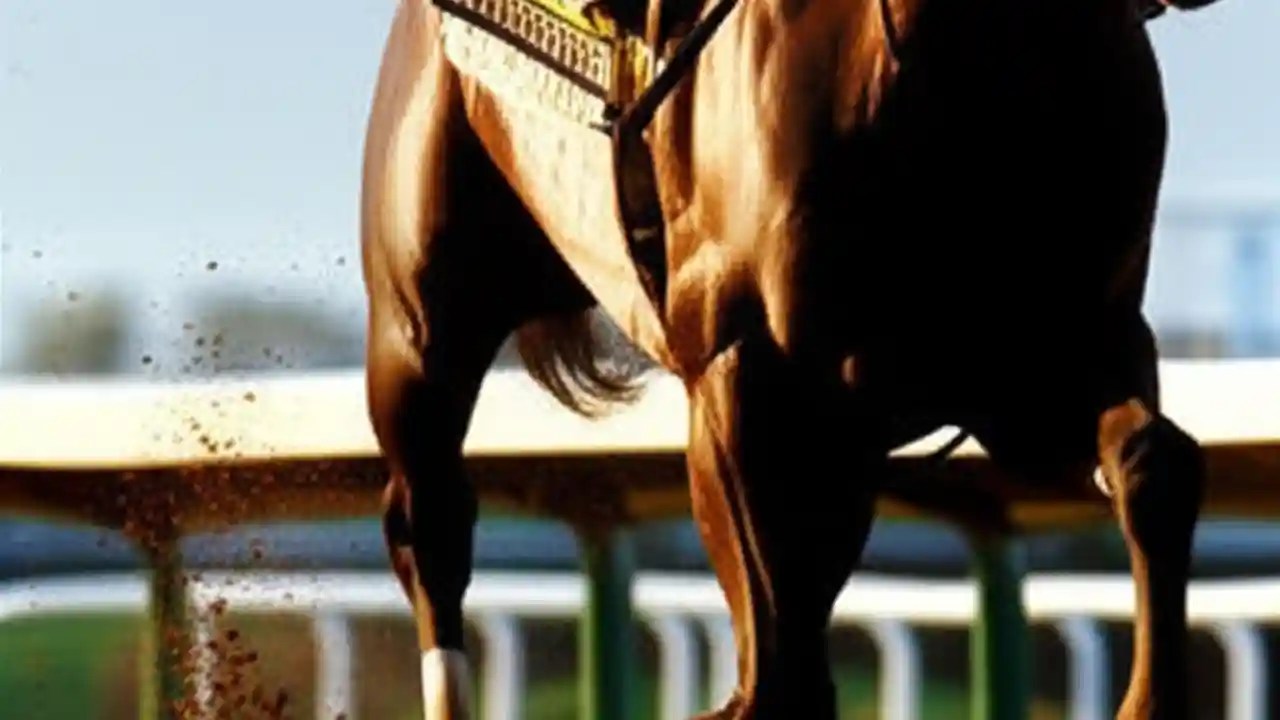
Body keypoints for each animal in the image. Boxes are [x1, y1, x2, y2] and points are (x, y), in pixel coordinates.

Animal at [358, 0, 1229, 715]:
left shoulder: (1044, 363)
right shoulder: (751, 364)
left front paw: (1151, 702)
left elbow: (1153, 458)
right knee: (429, 526)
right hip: (418, 329)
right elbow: (785, 673)